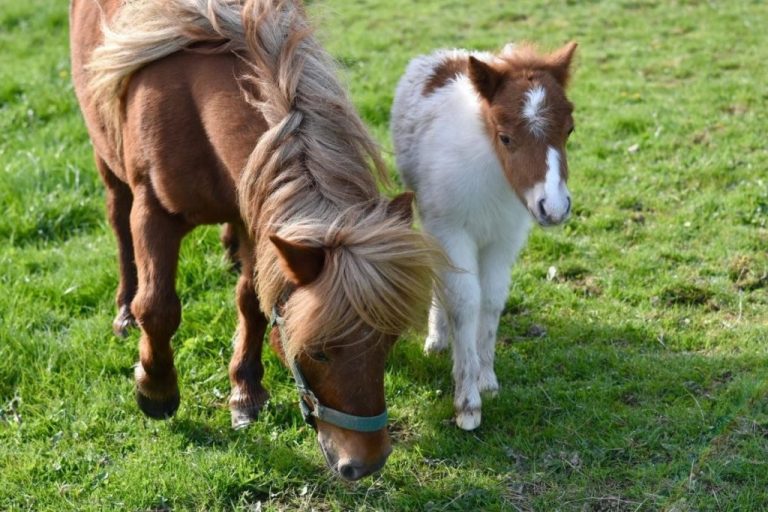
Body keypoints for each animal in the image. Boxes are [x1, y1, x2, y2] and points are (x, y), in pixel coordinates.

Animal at [70, 0, 444, 480]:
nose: (367, 462)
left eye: (389, 341)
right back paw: (123, 311)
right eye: (318, 353)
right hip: (107, 158)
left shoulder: (257, 217)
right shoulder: (153, 212)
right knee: (117, 221)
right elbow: (157, 307)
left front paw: (245, 392)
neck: (193, 102)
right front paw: (156, 390)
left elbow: (253, 302)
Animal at [390, 42, 578, 430]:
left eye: (569, 129)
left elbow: (491, 301)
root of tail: (448, 53)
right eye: (505, 136)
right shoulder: (452, 232)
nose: (554, 208)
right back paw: (437, 340)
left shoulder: (503, 239)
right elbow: (465, 302)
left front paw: (487, 380)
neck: (492, 173)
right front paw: (467, 403)